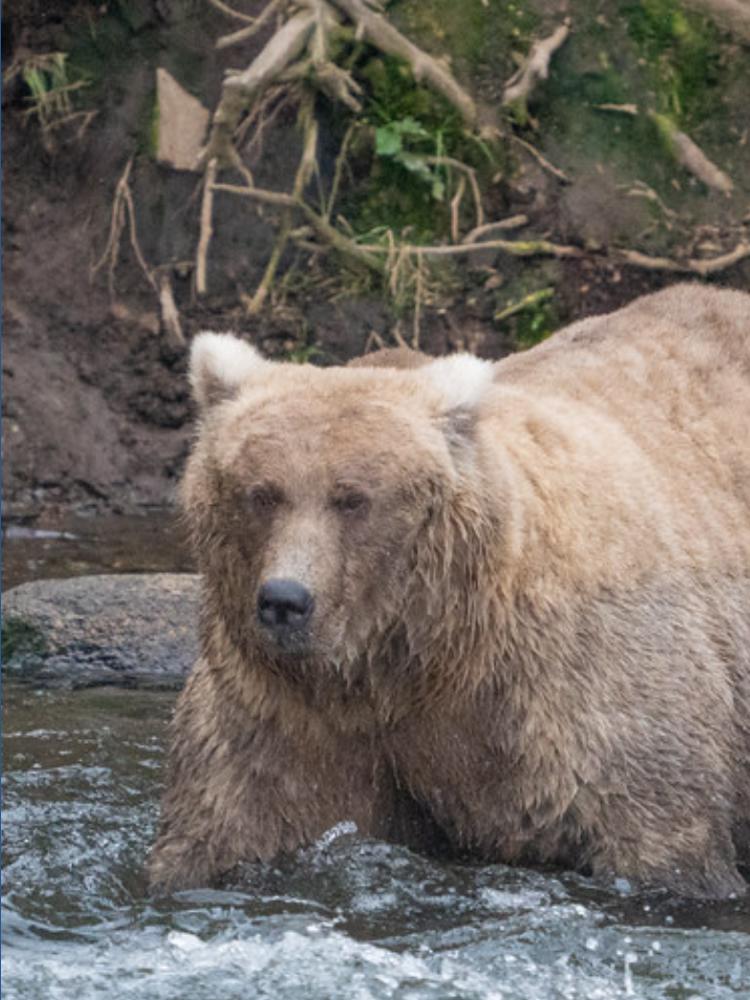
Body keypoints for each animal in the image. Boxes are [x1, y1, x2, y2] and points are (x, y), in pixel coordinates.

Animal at [148, 283, 750, 899]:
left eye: (352, 498)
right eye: (262, 492)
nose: (284, 601)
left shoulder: (574, 689)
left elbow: (655, 832)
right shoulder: (282, 710)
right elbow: (232, 821)